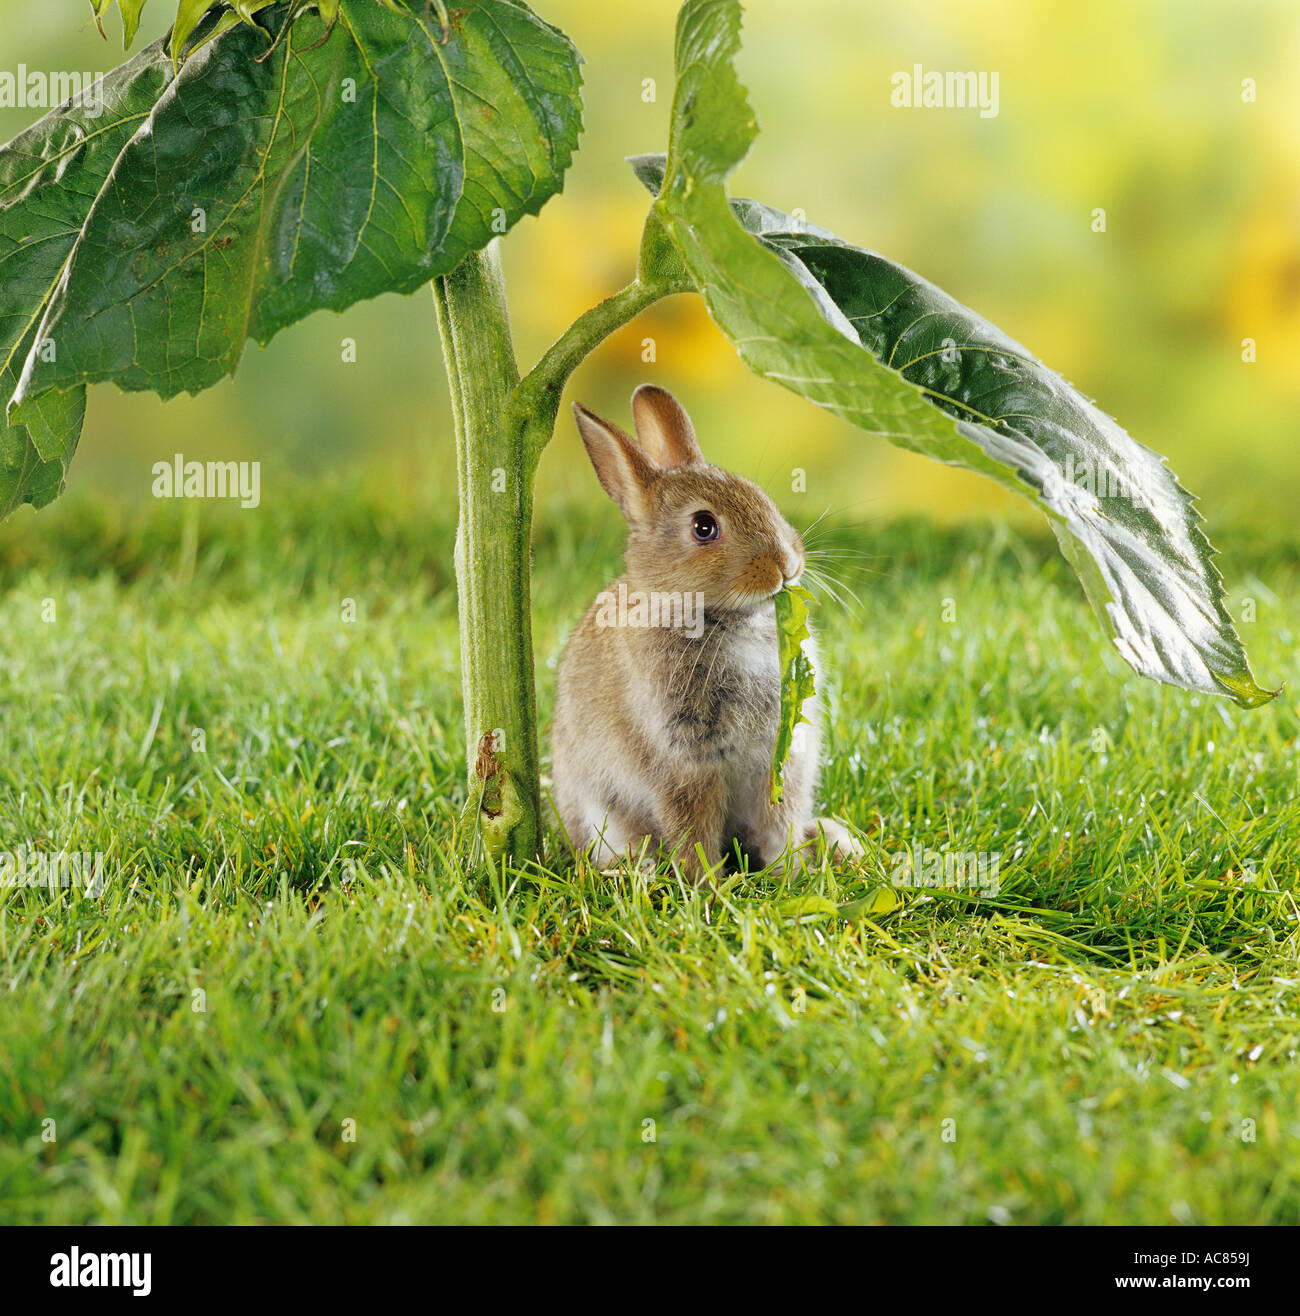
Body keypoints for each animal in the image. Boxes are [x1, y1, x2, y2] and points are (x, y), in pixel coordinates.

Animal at [552, 383, 862, 885]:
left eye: (758, 495)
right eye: (703, 527)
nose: (786, 564)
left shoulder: (781, 761)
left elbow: (779, 822)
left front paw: (789, 875)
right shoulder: (683, 765)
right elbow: (692, 830)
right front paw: (709, 887)